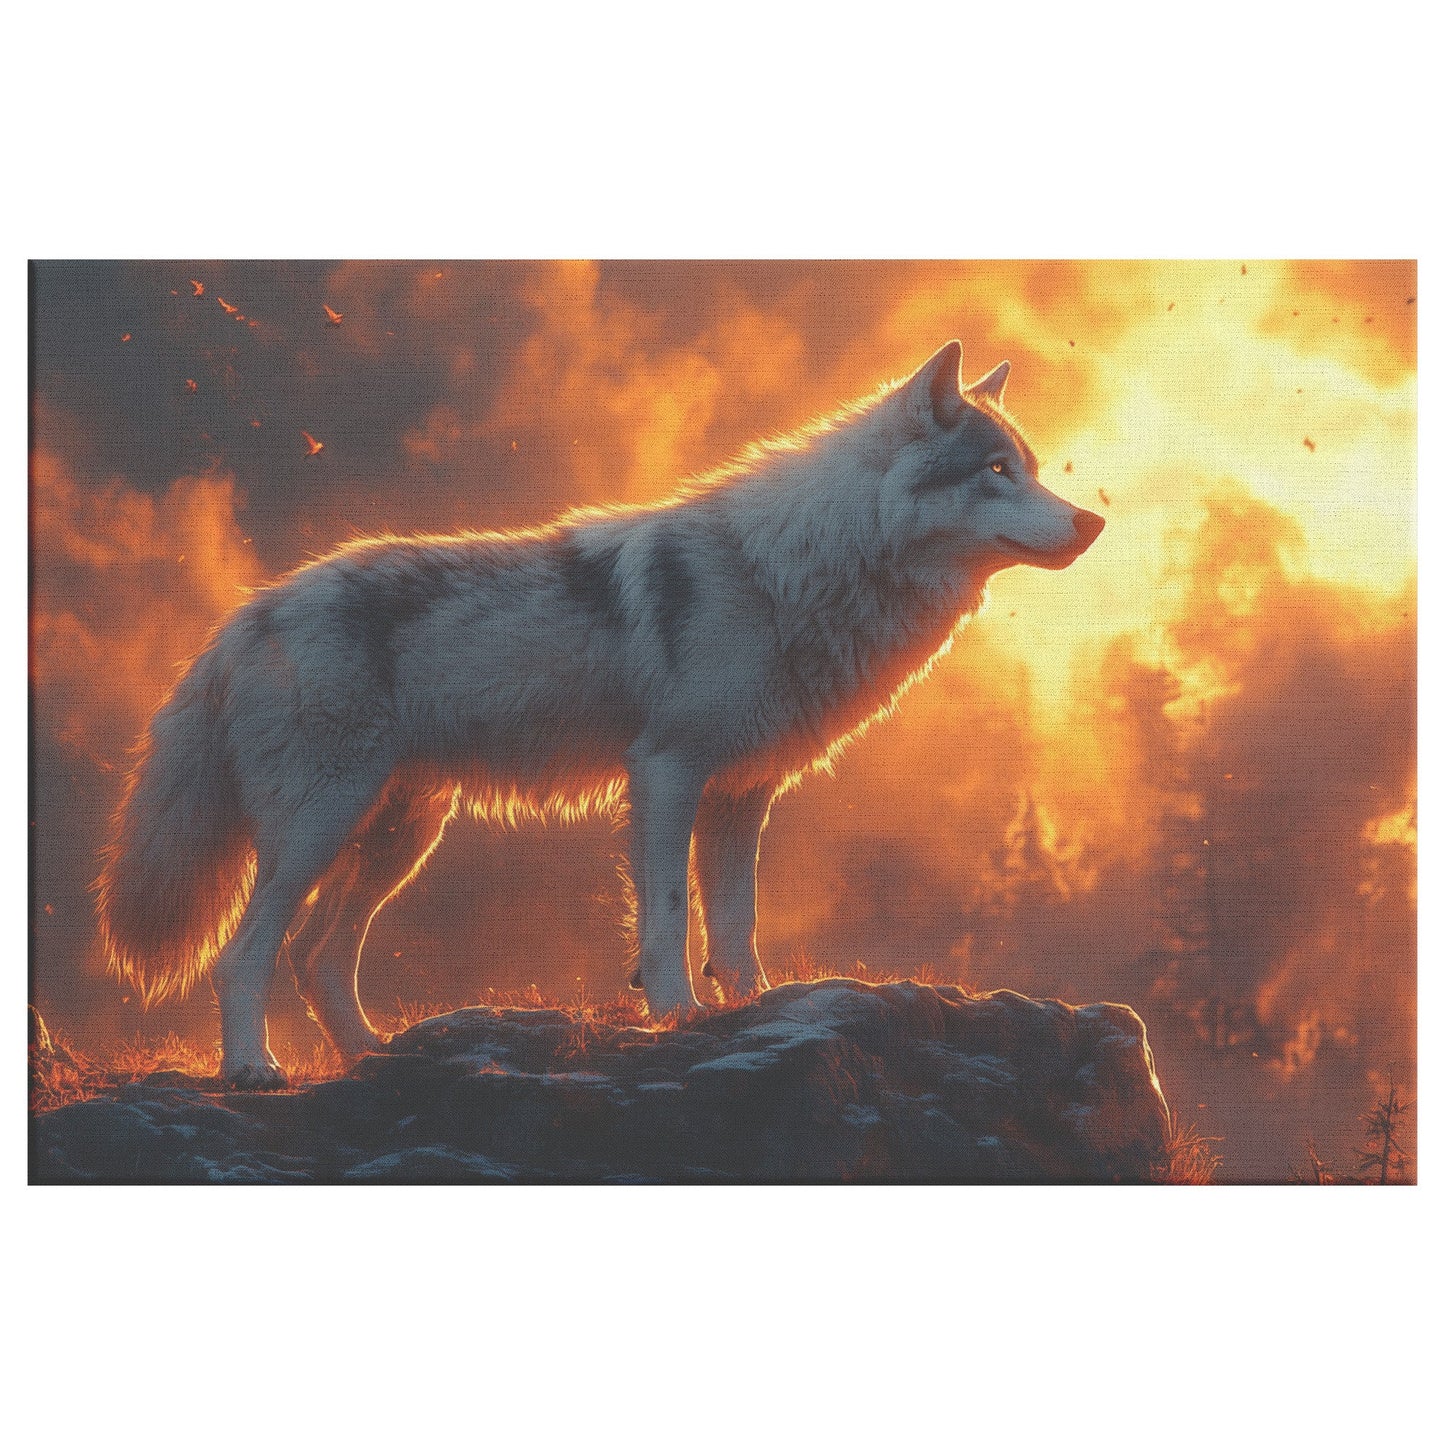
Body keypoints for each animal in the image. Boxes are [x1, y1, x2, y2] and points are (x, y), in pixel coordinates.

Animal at [97, 341, 1103, 1088]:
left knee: (317, 957)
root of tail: (246, 613)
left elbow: (735, 925)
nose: (1092, 525)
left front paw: (755, 1009)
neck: (789, 570)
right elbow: (667, 916)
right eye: (996, 471)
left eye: (1033, 470)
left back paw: (375, 1058)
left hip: (397, 835)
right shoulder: (666, 770)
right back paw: (252, 1068)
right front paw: (677, 1014)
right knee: (246, 952)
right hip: (321, 826)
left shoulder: (743, 792)